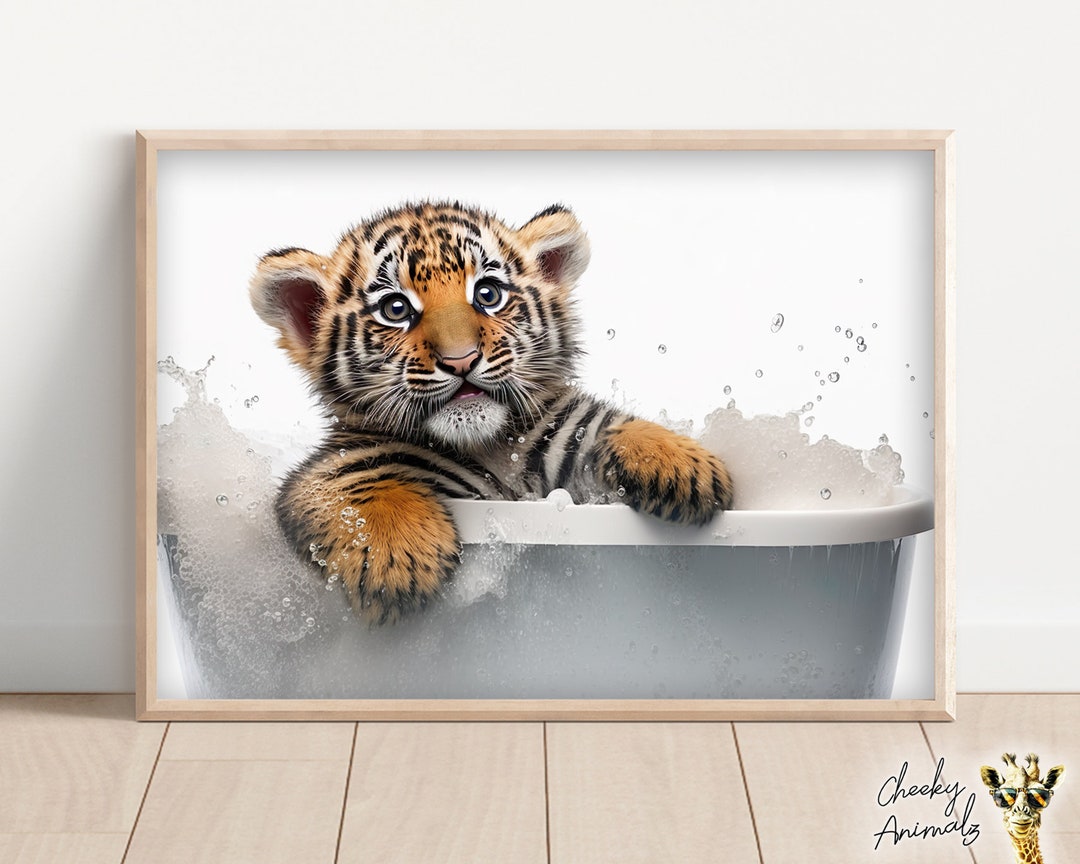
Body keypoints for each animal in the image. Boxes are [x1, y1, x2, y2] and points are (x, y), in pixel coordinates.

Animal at [250, 201, 733, 624]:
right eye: (396, 309)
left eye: (487, 294)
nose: (461, 360)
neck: (492, 447)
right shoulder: (330, 464)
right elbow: (351, 483)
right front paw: (398, 560)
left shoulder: (564, 435)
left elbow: (604, 422)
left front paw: (685, 465)